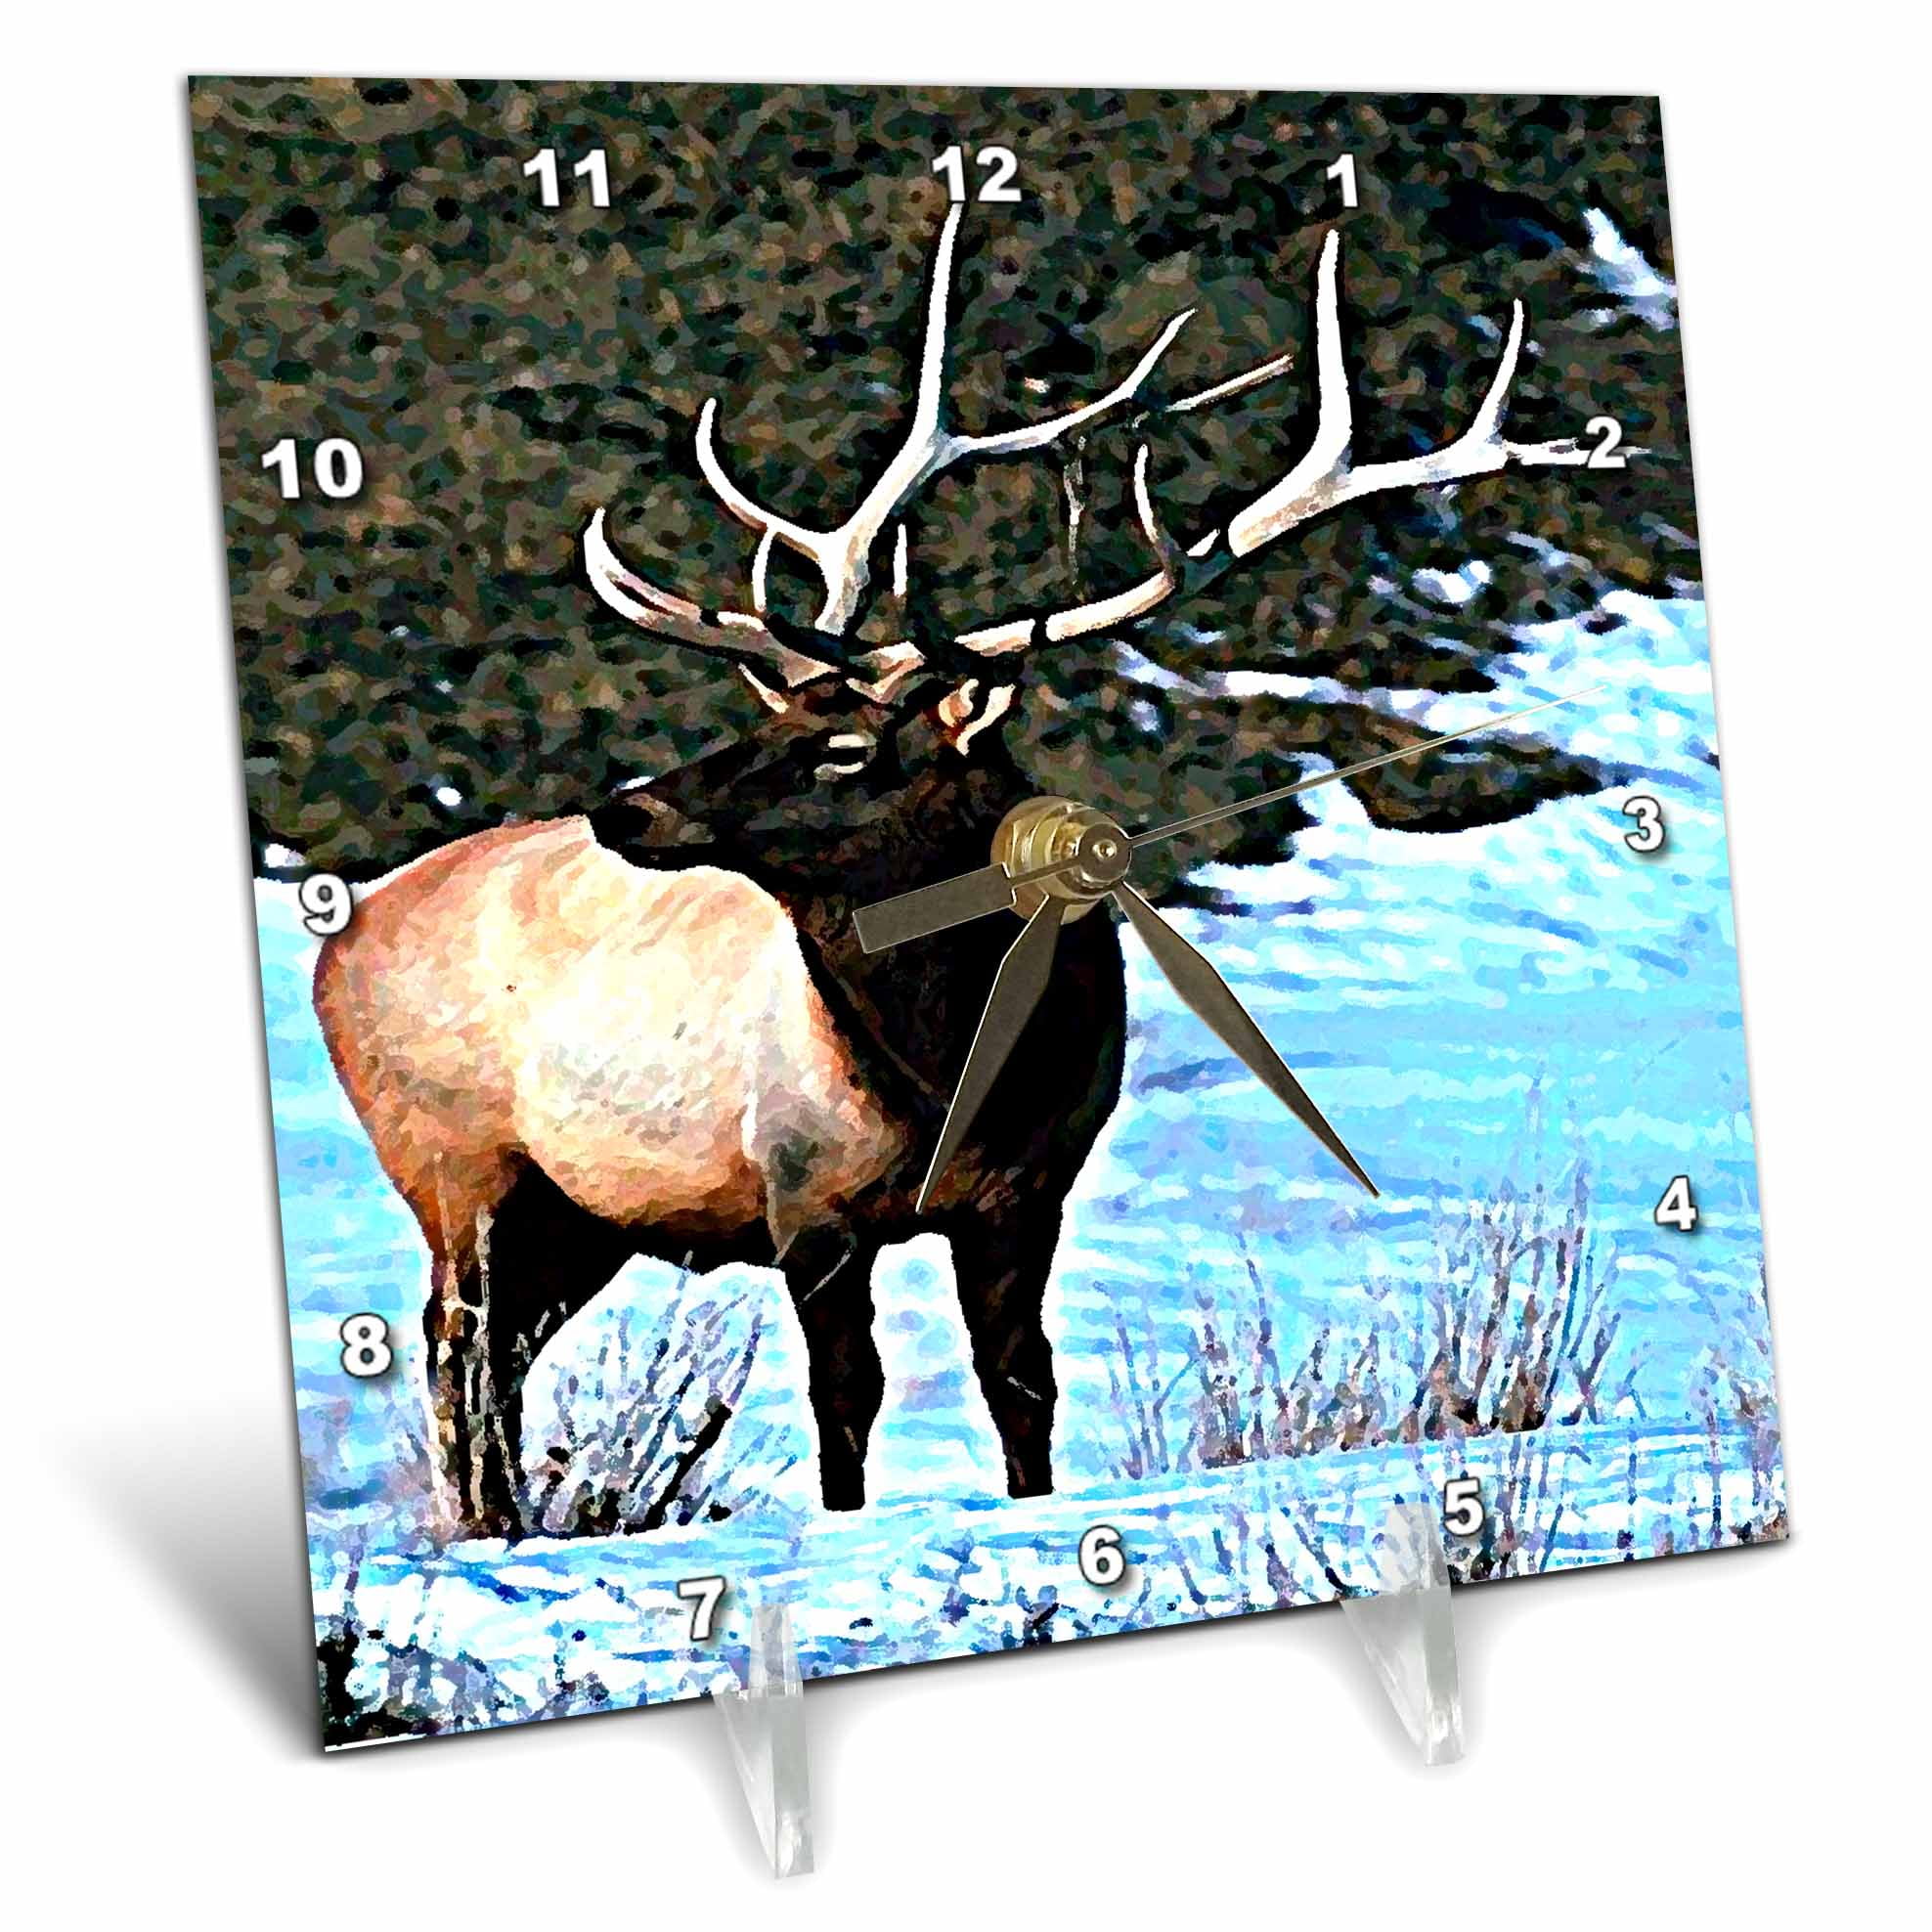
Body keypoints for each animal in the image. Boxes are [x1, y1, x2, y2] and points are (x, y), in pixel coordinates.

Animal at [314, 203, 1599, 1539]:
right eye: (769, 718)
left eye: (840, 746)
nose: (626, 807)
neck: (947, 1077)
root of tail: (338, 940)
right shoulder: (802, 1193)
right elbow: (844, 1398)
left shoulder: (1025, 1192)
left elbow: (1017, 1380)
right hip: (453, 1160)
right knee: (458, 1349)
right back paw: (484, 1520)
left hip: (575, 1212)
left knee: (496, 1355)